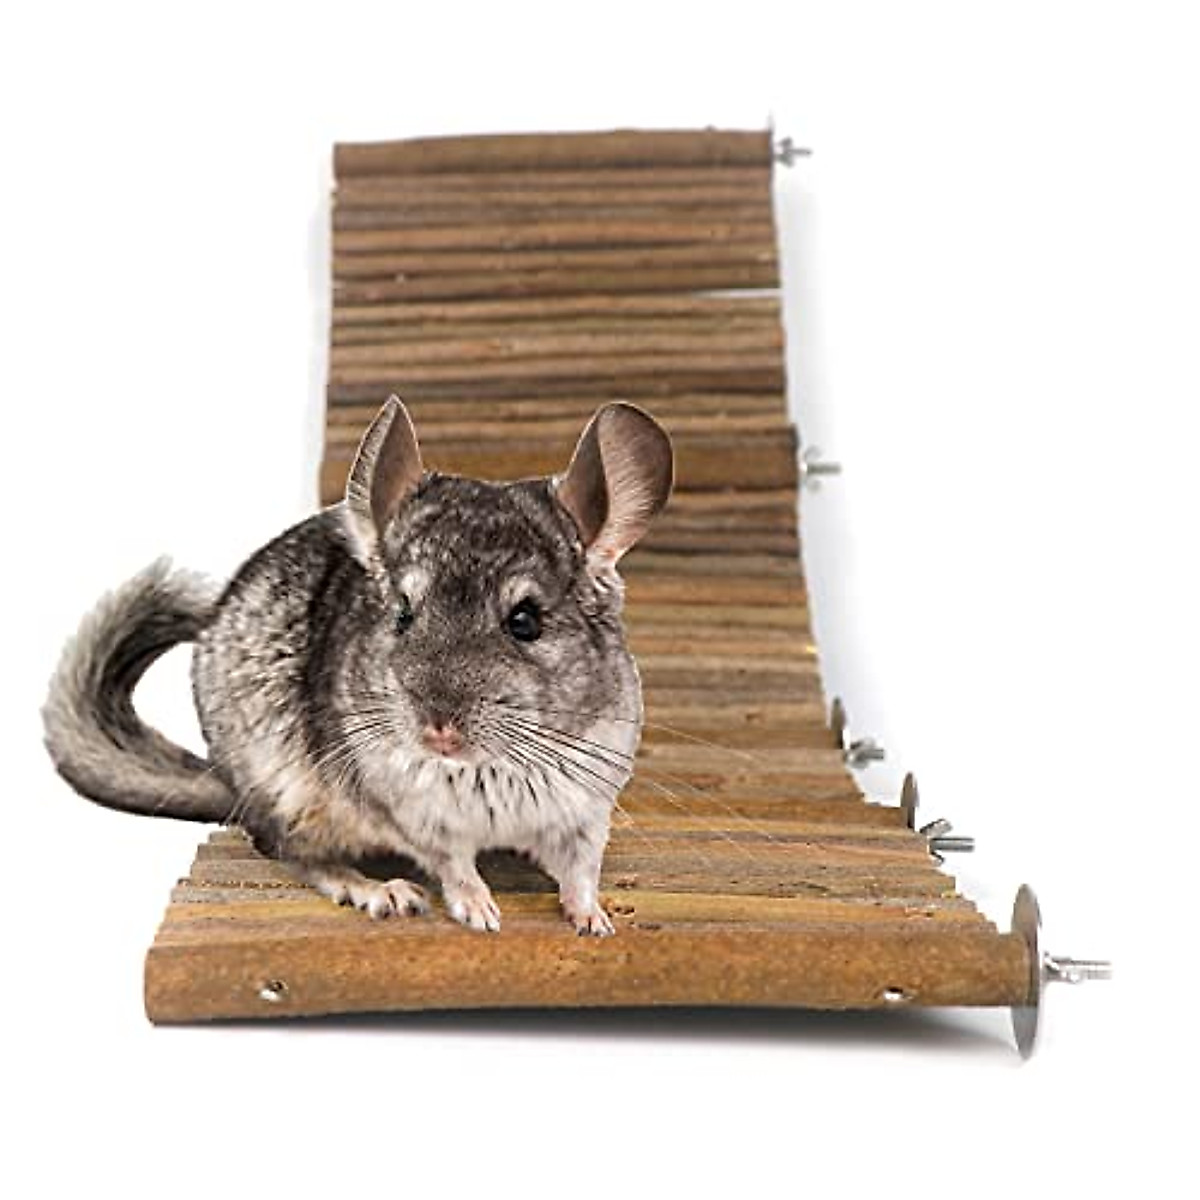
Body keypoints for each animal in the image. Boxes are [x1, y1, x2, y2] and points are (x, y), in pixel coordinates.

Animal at [43, 397, 673, 935]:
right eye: (402, 612)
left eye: (526, 621)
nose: (438, 727)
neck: (492, 769)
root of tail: (226, 782)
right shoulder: (416, 816)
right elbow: (454, 865)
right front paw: (480, 912)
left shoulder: (587, 808)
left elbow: (582, 868)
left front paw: (593, 920)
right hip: (288, 796)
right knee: (293, 853)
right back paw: (379, 890)